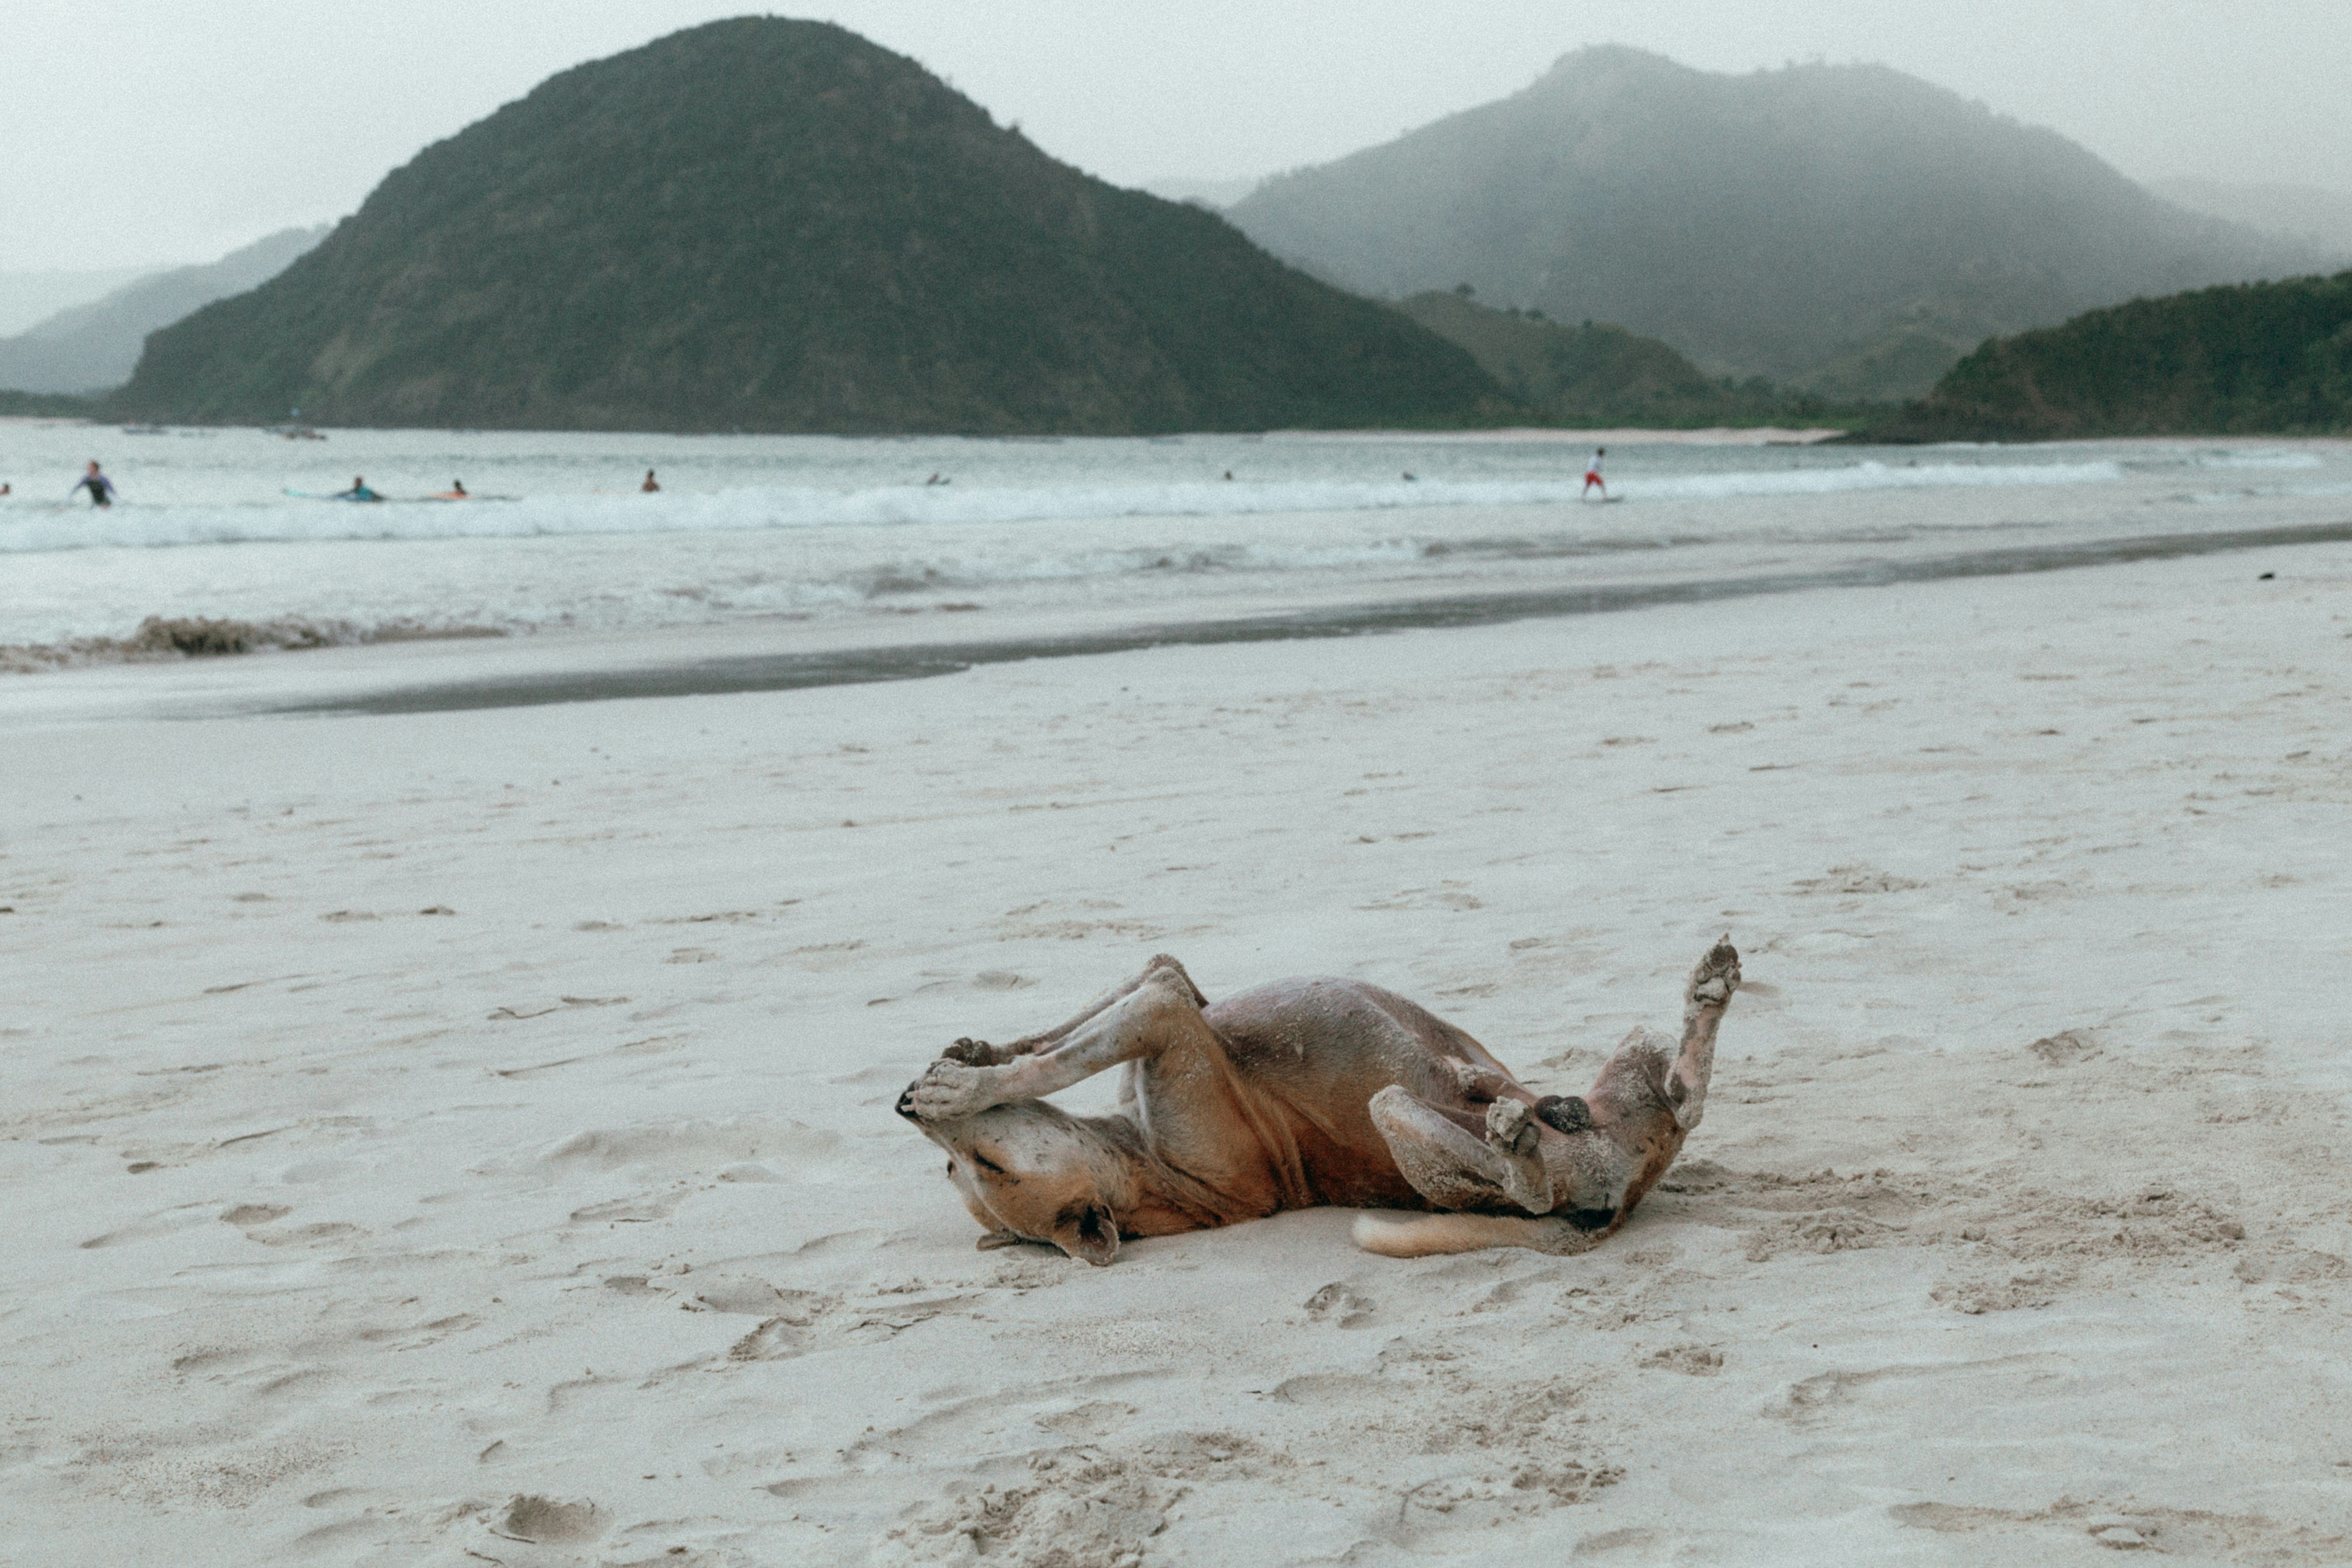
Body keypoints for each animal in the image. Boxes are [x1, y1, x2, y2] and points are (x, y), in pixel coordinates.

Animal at [894, 938, 1738, 1263]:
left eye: (974, 1166)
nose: (924, 1124)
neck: (1139, 1163)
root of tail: (1622, 1199)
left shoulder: (1168, 1005)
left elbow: (1138, 983)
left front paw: (972, 1058)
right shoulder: (1166, 1023)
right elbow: (1081, 1041)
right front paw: (967, 1082)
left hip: (1626, 1065)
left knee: (1675, 1093)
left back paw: (1703, 994)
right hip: (1410, 1118)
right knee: (1544, 1177)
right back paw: (1518, 1140)